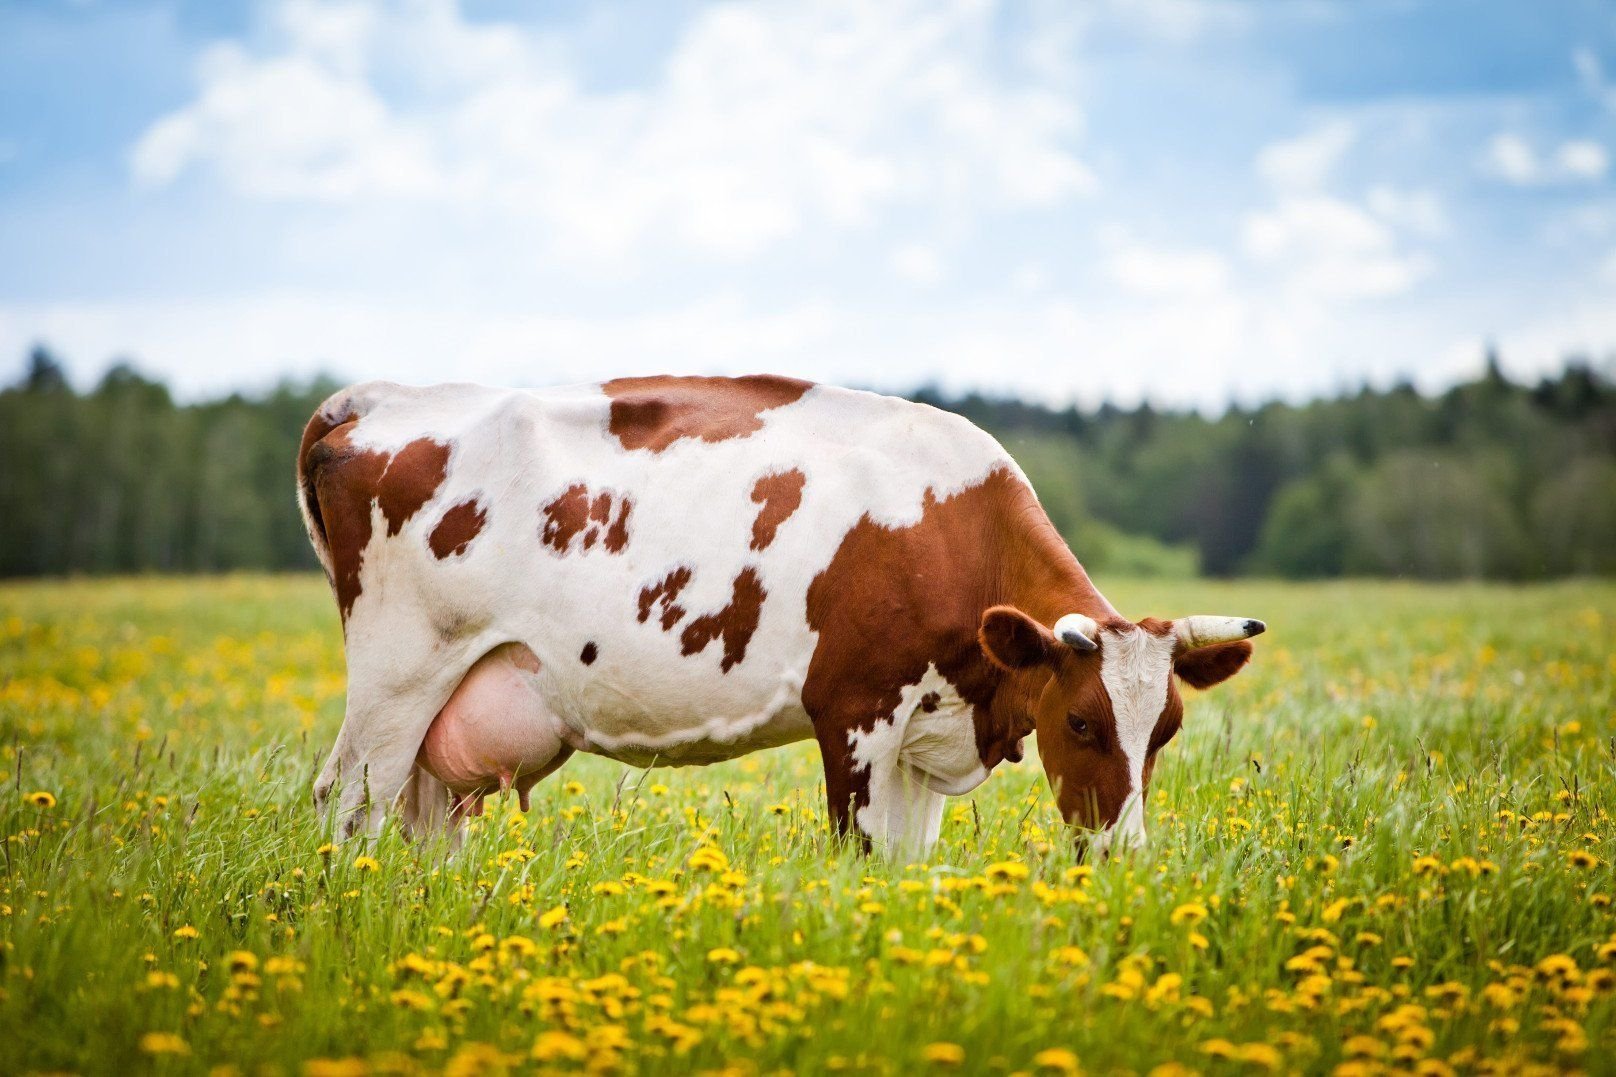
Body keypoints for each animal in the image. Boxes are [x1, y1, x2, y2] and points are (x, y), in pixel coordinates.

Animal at [303, 373, 1260, 853]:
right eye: (1081, 721)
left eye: (1166, 729)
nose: (1123, 854)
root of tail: (382, 396)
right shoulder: (856, 714)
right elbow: (861, 855)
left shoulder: (925, 737)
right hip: (399, 676)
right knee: (347, 806)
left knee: (428, 824)